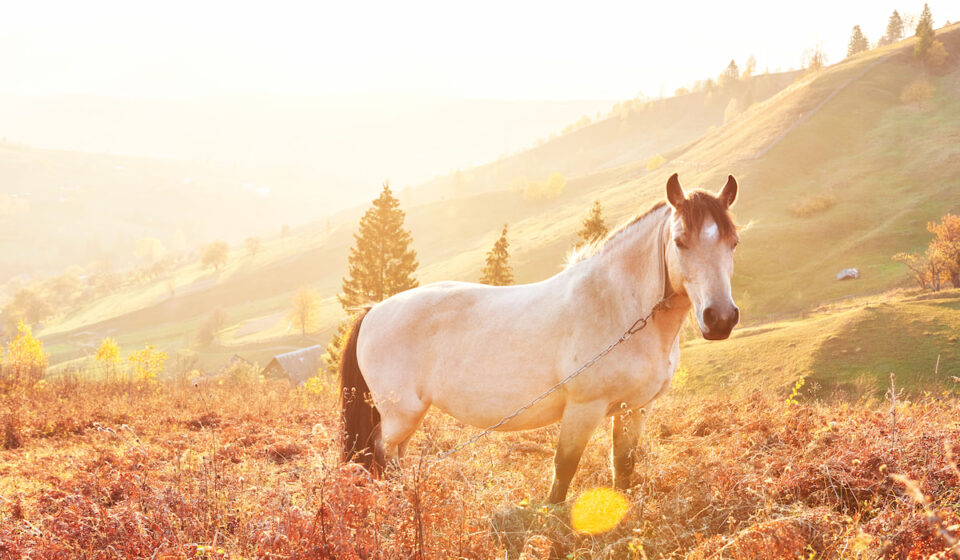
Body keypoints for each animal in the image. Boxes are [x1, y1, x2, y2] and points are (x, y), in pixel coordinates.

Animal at [340, 172, 740, 503]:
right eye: (680, 241)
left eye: (733, 242)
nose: (720, 319)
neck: (615, 305)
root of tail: (374, 311)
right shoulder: (583, 409)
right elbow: (564, 471)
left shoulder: (635, 409)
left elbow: (623, 469)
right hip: (399, 416)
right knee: (380, 454)